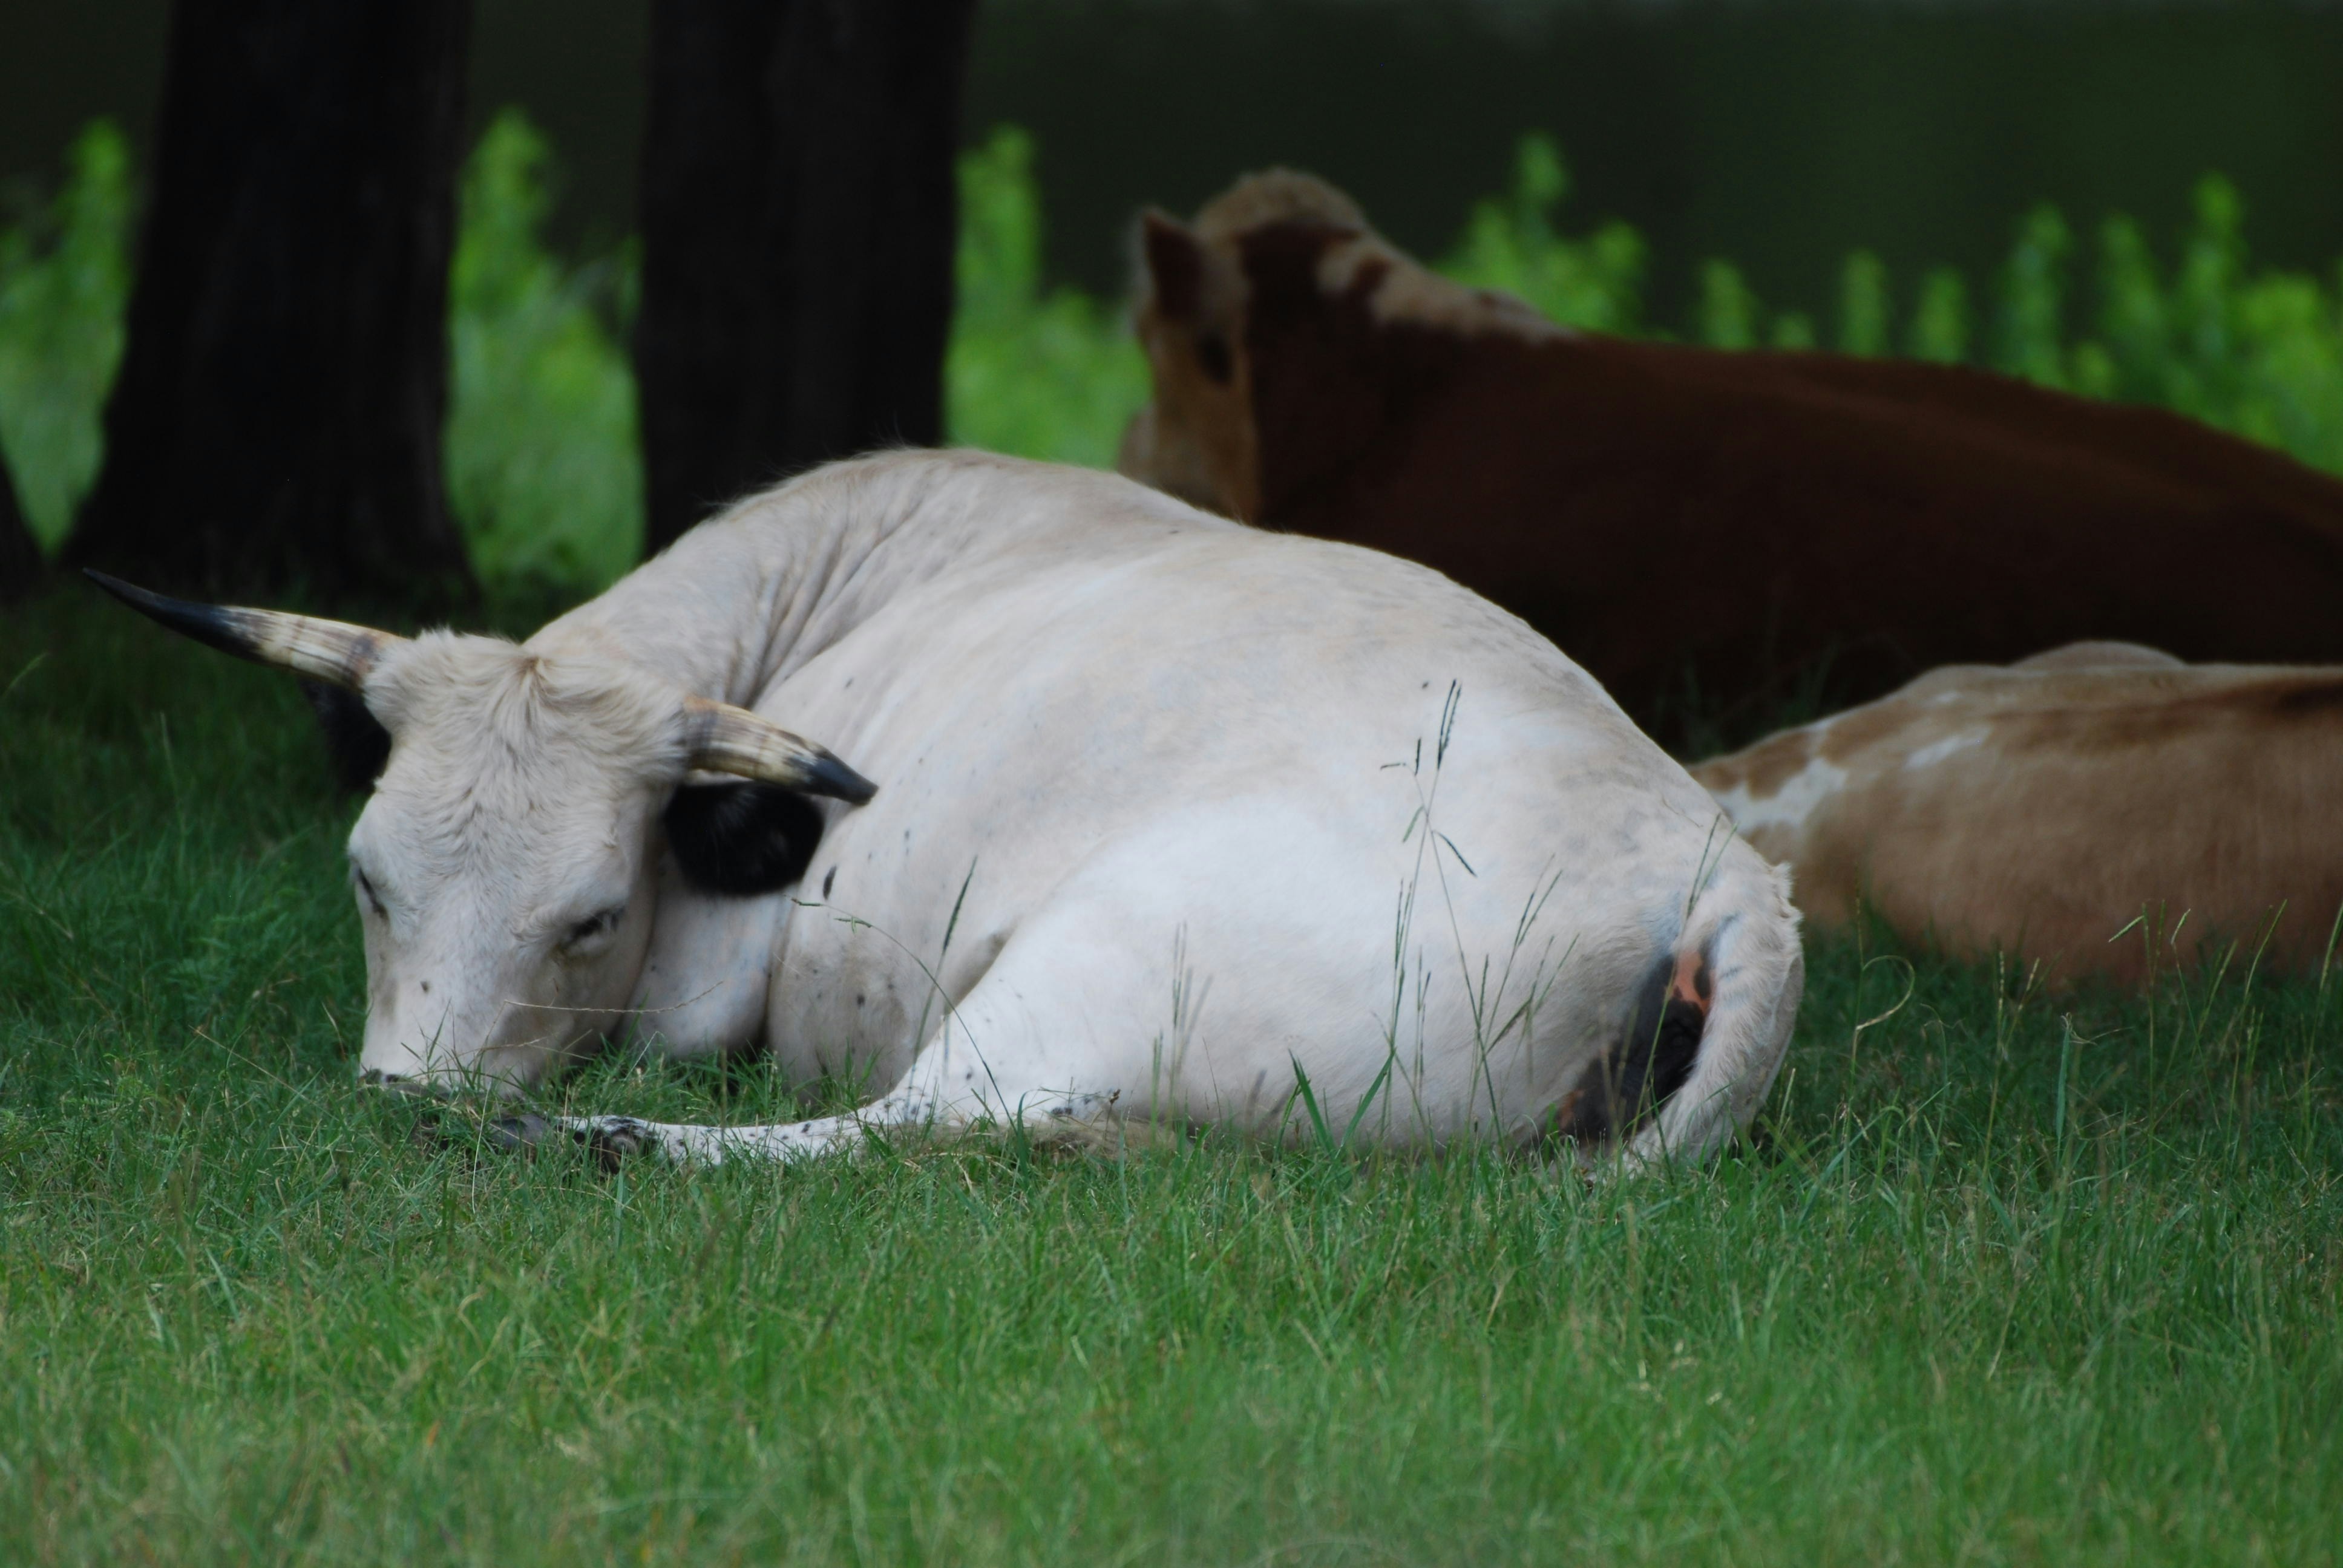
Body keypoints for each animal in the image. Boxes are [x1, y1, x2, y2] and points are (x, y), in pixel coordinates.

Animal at [96, 451, 1803, 1166]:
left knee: (905, 1125)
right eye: (367, 879)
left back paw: (582, 1139)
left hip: (1096, 955)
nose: (406, 1101)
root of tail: (1713, 861)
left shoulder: (719, 979)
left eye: (592, 918)